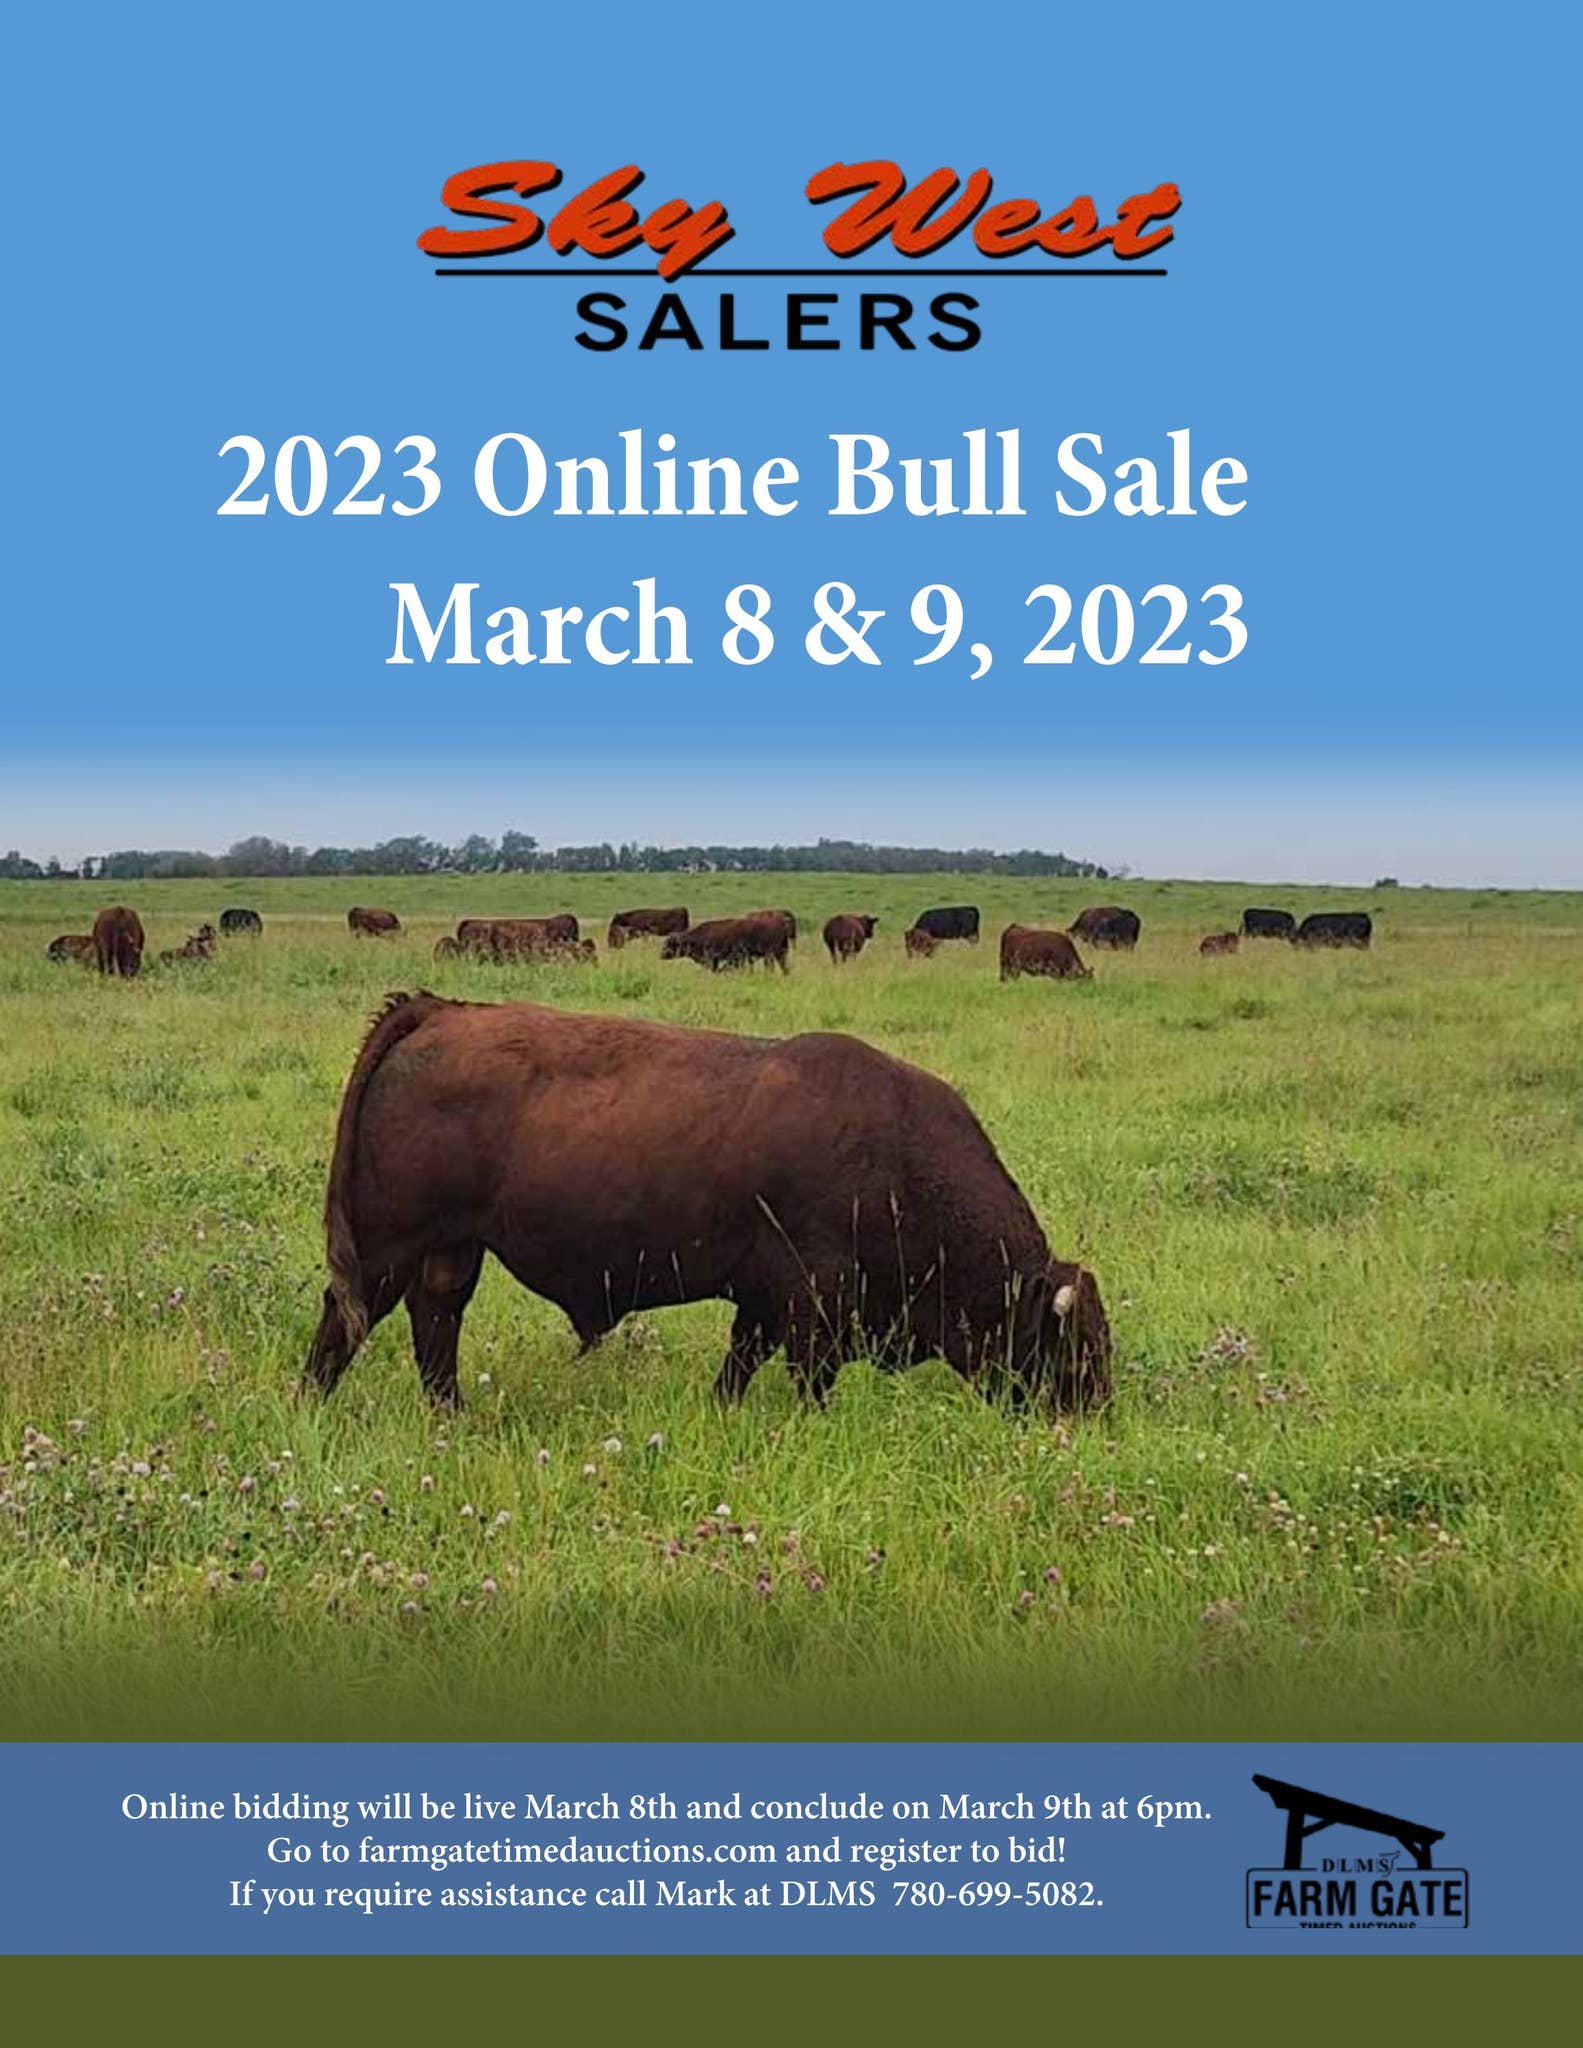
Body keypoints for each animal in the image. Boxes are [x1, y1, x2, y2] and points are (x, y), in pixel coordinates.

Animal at [303, 993, 1111, 1416]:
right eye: (1077, 1347)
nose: (1095, 1421)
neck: (898, 1155)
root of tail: (438, 1010)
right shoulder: (816, 1299)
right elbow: (807, 1376)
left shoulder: (763, 1300)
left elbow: (740, 1363)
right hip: (389, 1248)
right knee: (346, 1321)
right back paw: (313, 1407)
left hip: (451, 1251)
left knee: (434, 1324)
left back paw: (451, 1416)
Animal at [662, 913, 791, 973]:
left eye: (669, 943)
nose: (661, 955)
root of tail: (781, 922)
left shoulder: (716, 959)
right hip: (776, 954)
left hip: (772, 954)